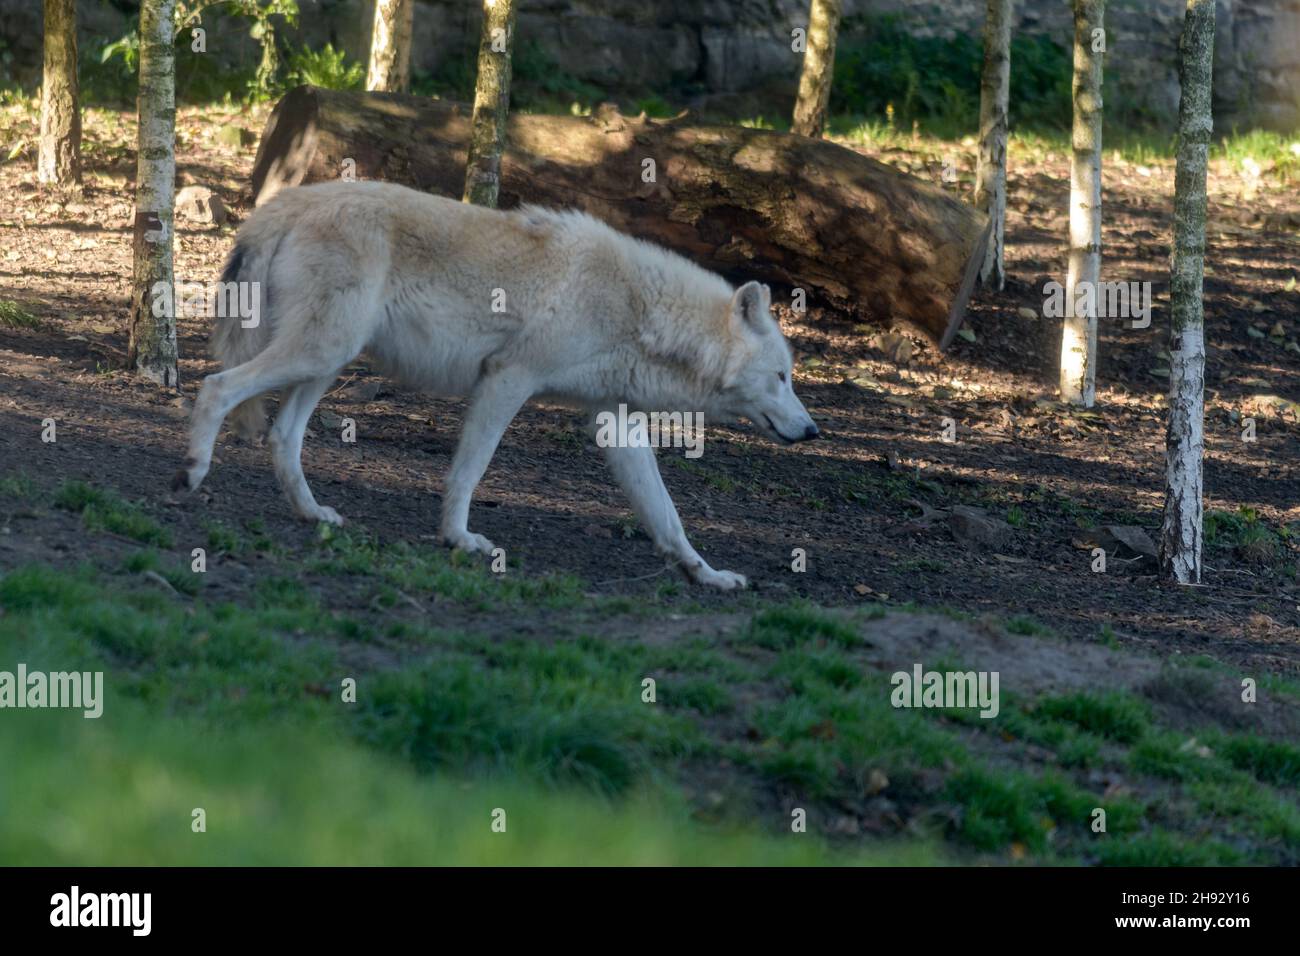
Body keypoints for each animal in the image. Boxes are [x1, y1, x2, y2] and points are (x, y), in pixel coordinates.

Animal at [175, 180, 819, 589]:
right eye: (782, 377)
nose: (813, 431)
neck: (638, 309)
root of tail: (284, 201)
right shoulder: (507, 380)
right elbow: (469, 472)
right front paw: (459, 539)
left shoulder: (613, 421)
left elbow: (669, 517)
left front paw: (708, 574)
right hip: (320, 352)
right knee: (215, 386)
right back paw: (192, 473)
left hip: (327, 361)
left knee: (282, 437)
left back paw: (313, 515)